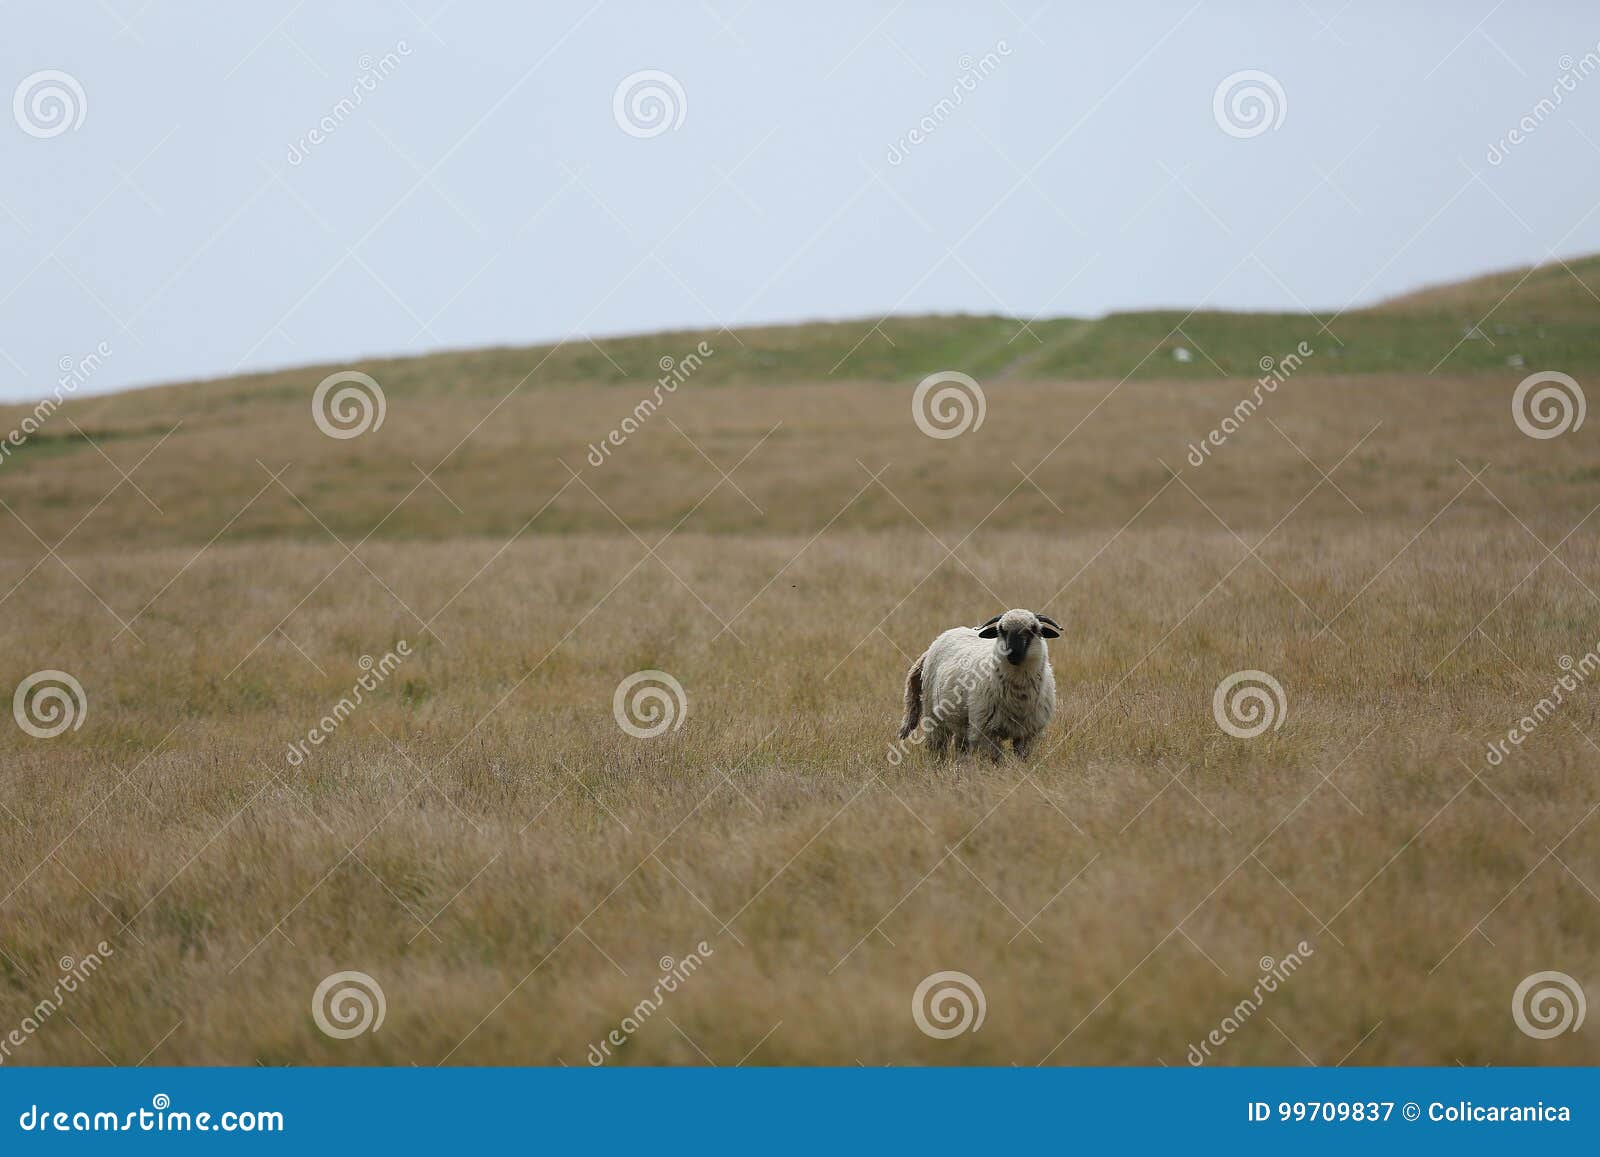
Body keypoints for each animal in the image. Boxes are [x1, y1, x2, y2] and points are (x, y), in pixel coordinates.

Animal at [897, 608, 1060, 760]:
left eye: (1033, 629)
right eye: (1001, 630)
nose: (1012, 653)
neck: (1018, 695)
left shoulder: (1028, 735)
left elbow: (1022, 758)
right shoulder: (986, 732)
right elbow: (996, 760)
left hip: (962, 723)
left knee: (960, 750)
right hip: (934, 717)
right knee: (937, 749)